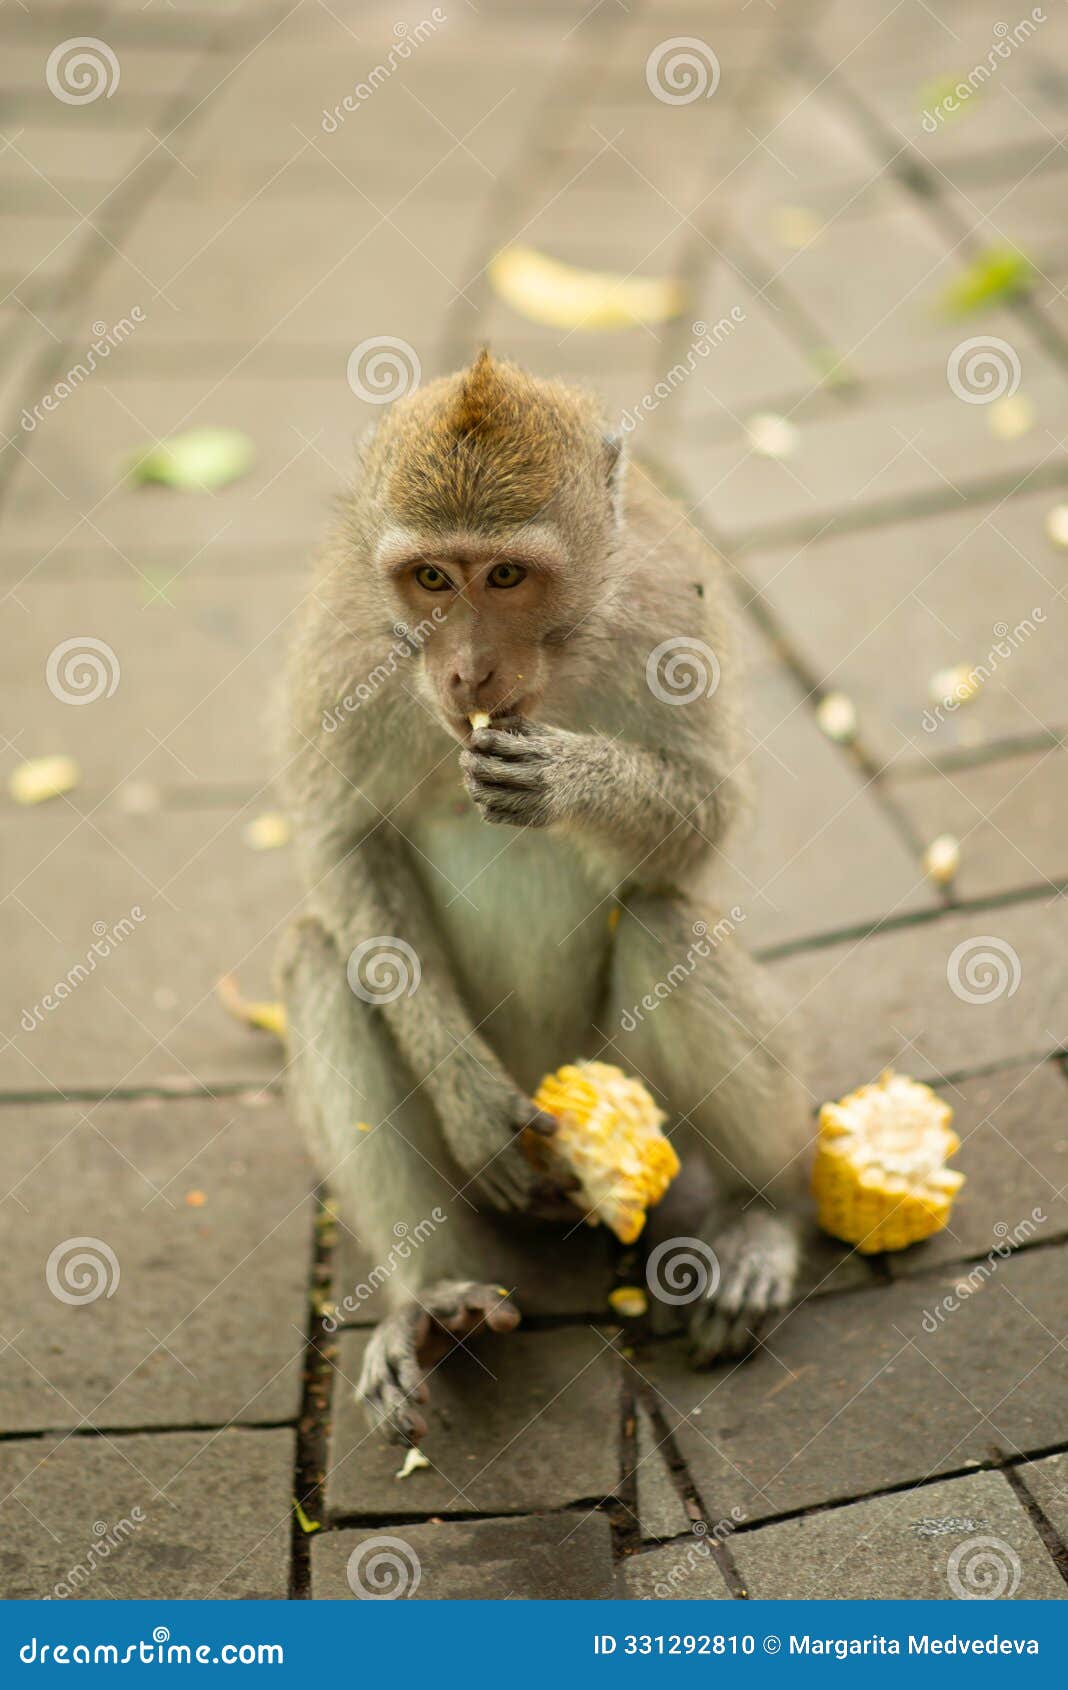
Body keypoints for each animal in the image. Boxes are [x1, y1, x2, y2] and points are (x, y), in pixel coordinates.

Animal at [277, 350, 812, 1443]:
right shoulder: (349, 636)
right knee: (326, 958)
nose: (468, 670)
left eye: (508, 576)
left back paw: (760, 1216)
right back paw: (431, 1295)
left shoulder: (669, 603)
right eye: (431, 578)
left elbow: (706, 816)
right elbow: (342, 841)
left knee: (663, 925)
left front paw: (575, 779)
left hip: (628, 1102)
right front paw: (471, 1105)